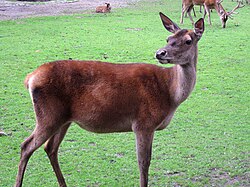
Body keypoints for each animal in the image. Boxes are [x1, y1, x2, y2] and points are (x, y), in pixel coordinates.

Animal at [14, 12, 204, 187]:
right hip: (48, 116)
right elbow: (144, 163)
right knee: (26, 146)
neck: (170, 94)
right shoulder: (143, 123)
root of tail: (30, 78)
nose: (160, 53)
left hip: (63, 119)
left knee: (50, 148)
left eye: (188, 40)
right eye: (168, 38)